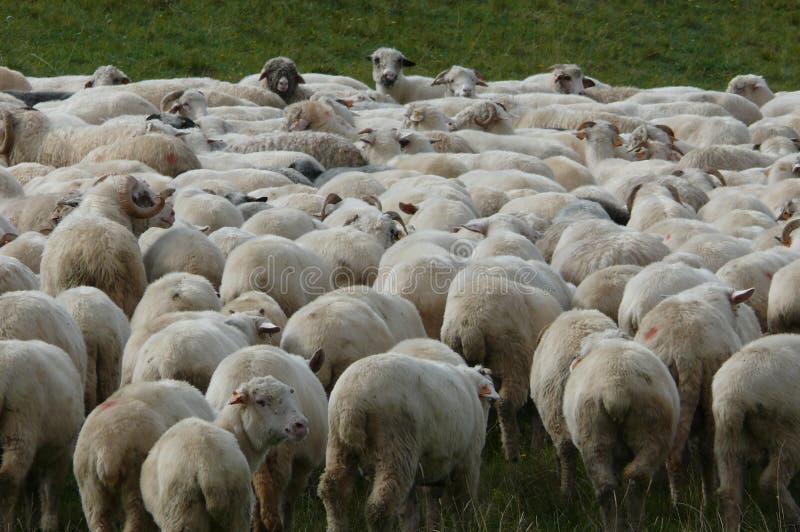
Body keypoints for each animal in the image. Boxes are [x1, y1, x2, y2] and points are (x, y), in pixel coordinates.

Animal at [0, 340, 84, 532]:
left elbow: (34, 486)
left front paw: (33, 522)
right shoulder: (63, 452)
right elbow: (51, 488)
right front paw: (49, 525)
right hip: (21, 428)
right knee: (8, 480)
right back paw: (5, 525)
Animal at [318, 353, 498, 531]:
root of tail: (351, 403)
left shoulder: (435, 466)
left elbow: (419, 509)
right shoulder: (469, 462)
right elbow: (464, 502)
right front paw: (468, 525)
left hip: (338, 445)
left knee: (332, 491)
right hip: (396, 450)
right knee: (379, 507)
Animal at [564, 333, 679, 531]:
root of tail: (616, 388)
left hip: (596, 435)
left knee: (614, 485)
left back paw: (621, 524)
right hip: (649, 432)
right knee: (631, 480)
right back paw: (630, 524)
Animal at [634, 283, 756, 506]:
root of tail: (686, 352)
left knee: (674, 456)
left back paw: (677, 504)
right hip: (710, 390)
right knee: (707, 451)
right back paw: (708, 500)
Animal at [713, 334, 800, 530]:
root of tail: (732, 397)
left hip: (728, 440)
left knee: (728, 493)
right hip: (787, 435)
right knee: (771, 481)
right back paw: (795, 517)